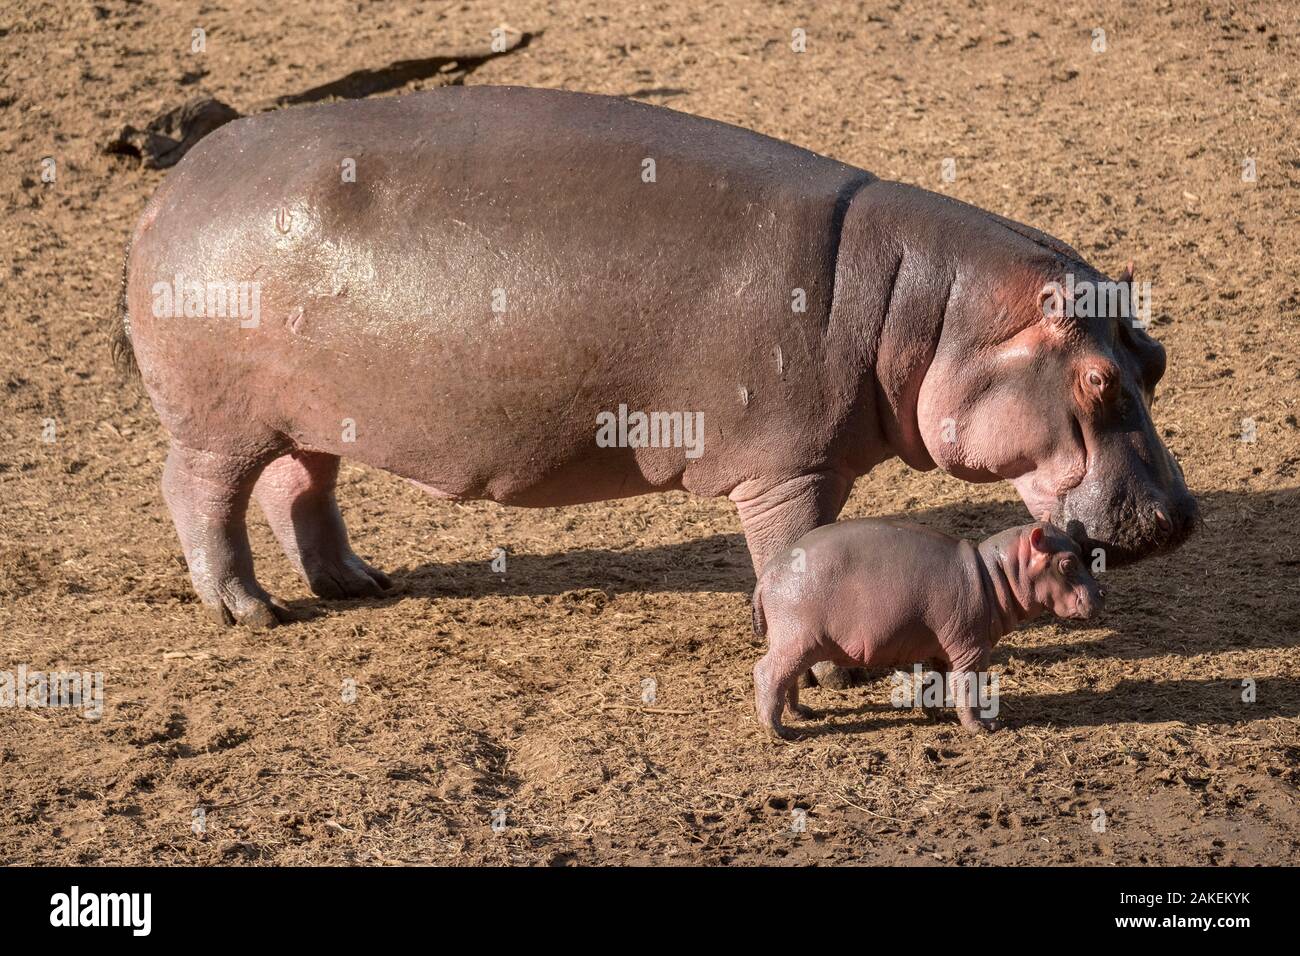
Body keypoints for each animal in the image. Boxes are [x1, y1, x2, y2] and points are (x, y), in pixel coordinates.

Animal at [114, 86, 1194, 655]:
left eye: (1153, 355)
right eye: (1098, 383)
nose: (1182, 515)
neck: (925, 312)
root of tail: (169, 188)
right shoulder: (787, 466)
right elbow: (794, 543)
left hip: (313, 411)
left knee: (302, 488)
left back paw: (355, 583)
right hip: (219, 424)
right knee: (199, 493)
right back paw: (250, 610)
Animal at [751, 519, 1104, 739]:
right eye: (1068, 562)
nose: (1101, 594)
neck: (997, 574)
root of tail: (766, 575)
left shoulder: (945, 647)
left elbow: (937, 681)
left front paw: (934, 714)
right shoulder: (972, 650)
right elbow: (967, 688)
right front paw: (984, 727)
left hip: (794, 641)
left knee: (788, 677)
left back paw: (801, 714)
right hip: (798, 639)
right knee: (767, 672)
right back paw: (779, 731)